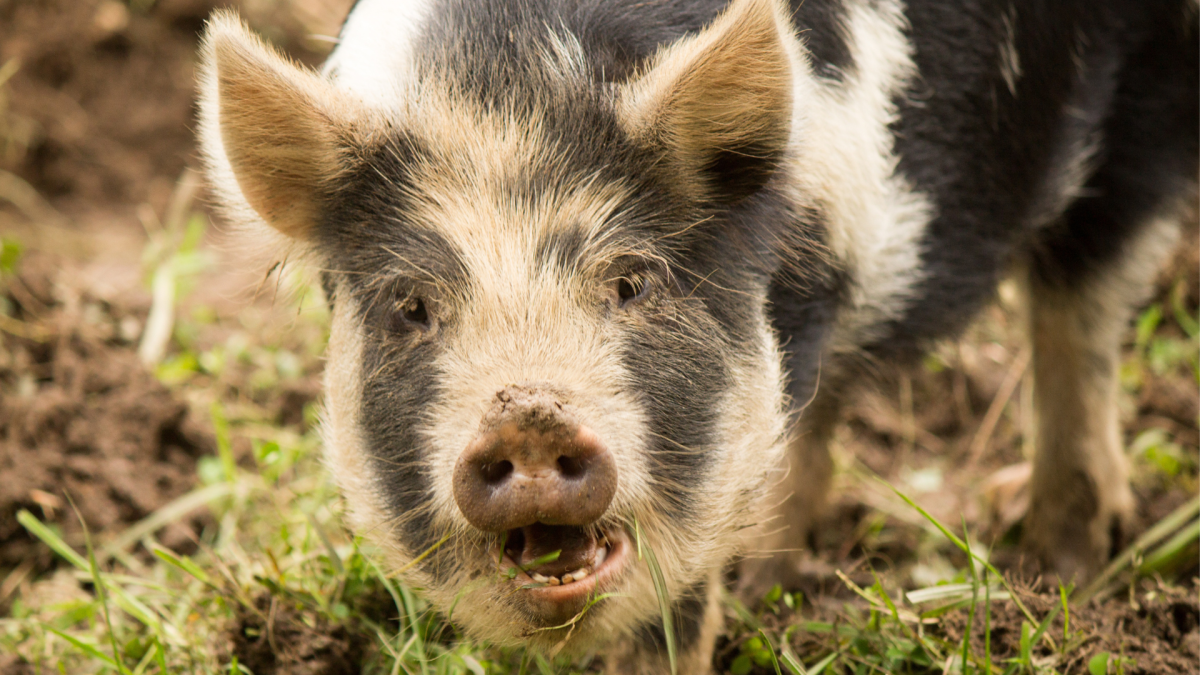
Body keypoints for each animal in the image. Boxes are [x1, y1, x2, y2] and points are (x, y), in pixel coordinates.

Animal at [197, 0, 1198, 671]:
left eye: (632, 281)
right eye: (411, 305)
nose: (529, 416)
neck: (508, 83)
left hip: (1146, 92)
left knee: (1082, 301)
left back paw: (1063, 560)